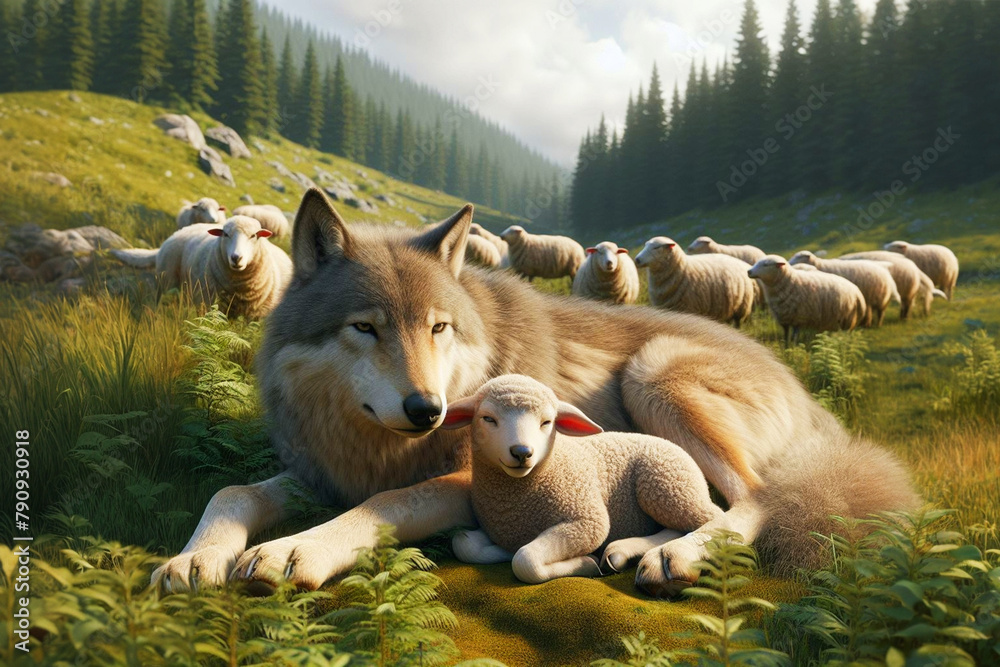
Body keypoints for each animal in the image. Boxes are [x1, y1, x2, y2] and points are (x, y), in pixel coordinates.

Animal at [111, 216, 292, 319]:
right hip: (167, 282)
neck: (238, 287)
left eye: (254, 235)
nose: (236, 257)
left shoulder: (255, 317)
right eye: (225, 234)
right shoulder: (207, 303)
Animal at [442, 374, 724, 588]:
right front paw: (504, 549)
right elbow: (462, 543)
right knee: (676, 528)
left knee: (714, 520)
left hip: (667, 485)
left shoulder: (587, 521)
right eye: (488, 418)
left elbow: (525, 561)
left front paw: (585, 563)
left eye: (547, 422)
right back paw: (620, 552)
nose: (522, 452)